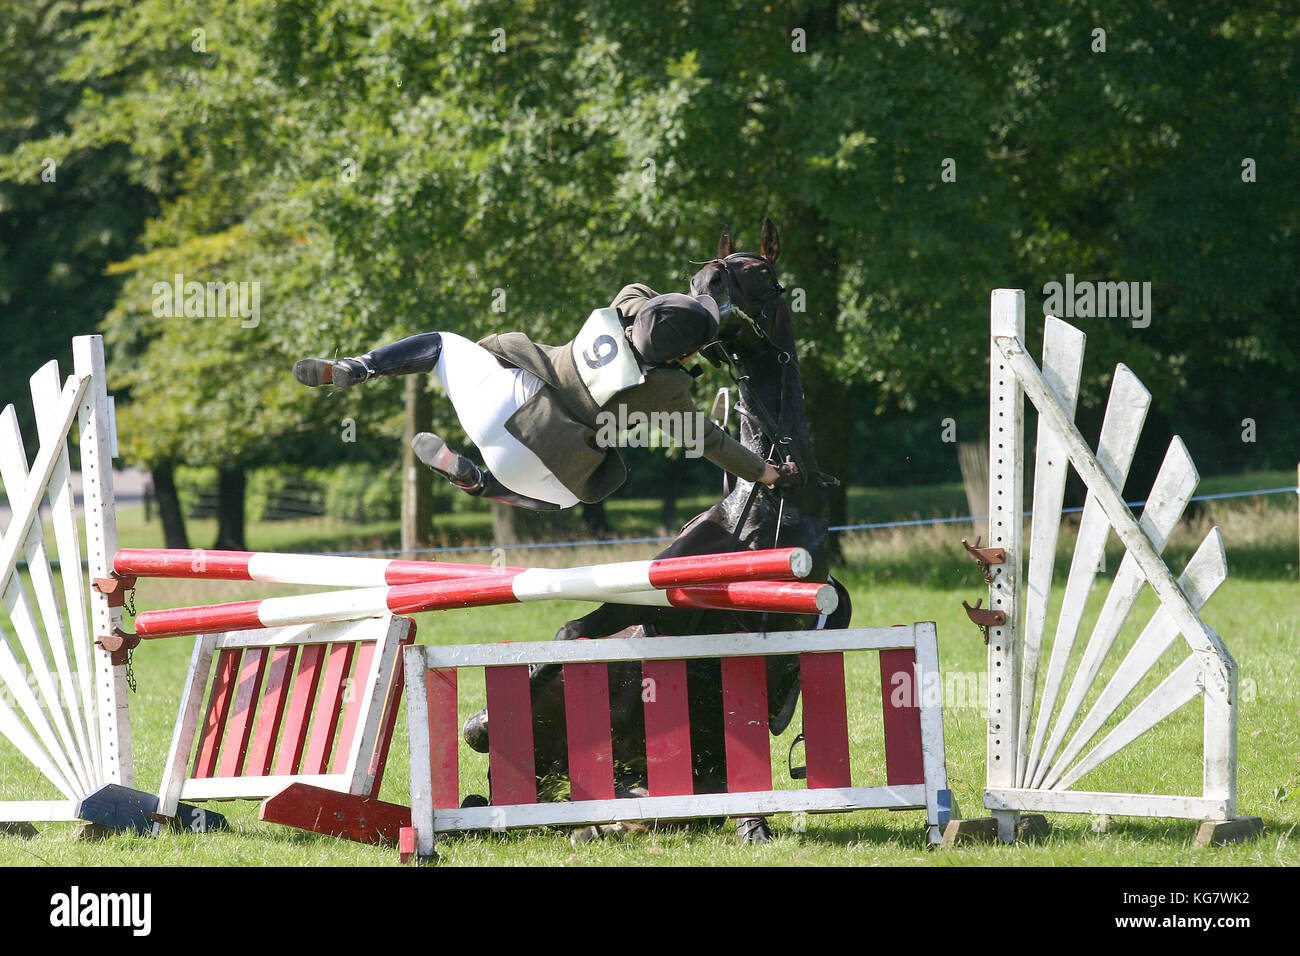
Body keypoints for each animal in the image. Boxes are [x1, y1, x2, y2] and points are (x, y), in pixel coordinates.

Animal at [465, 218, 849, 842]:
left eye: (759, 272)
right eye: (698, 276)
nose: (706, 292)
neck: (767, 503)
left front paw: (754, 821)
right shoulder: (654, 605)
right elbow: (573, 631)